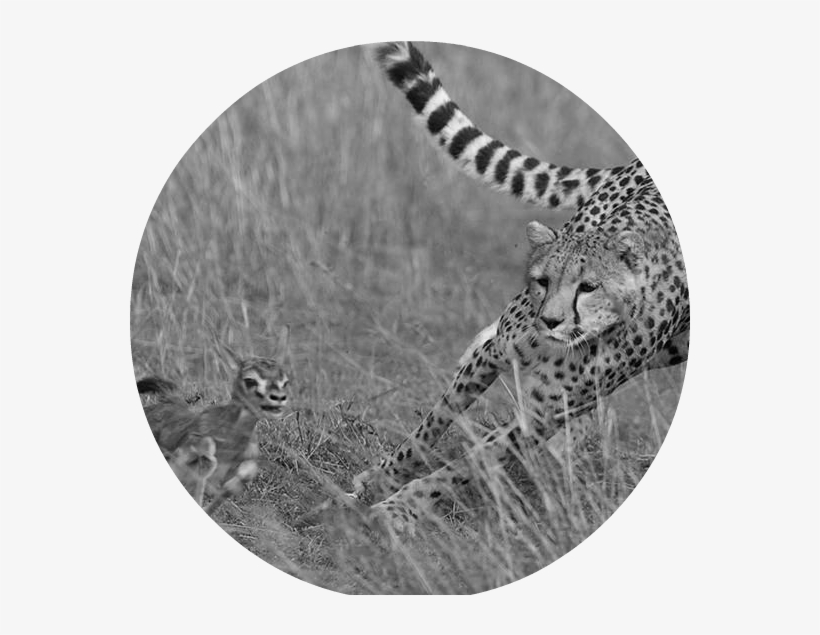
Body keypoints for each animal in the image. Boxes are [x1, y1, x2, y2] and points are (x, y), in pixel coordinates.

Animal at [352, 42, 689, 536]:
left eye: (589, 287)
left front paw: (399, 508)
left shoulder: (540, 417)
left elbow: (466, 466)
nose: (549, 320)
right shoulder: (494, 357)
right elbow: (432, 424)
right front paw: (381, 479)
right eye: (542, 281)